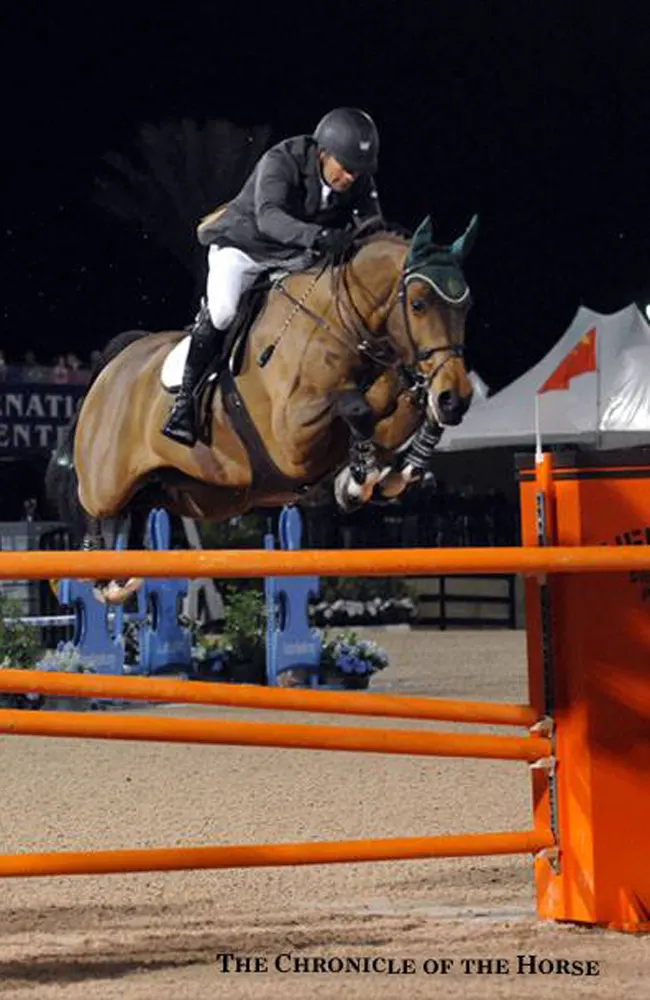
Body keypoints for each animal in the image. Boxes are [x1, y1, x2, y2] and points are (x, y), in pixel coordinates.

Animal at [46, 214, 477, 602]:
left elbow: (397, 411)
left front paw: (391, 470)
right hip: (106, 483)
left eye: (467, 306)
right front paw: (361, 476)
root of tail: (114, 363)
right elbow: (355, 406)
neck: (339, 323)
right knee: (90, 506)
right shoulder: (291, 441)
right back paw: (97, 569)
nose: (456, 397)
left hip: (198, 492)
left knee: (137, 511)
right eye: (418, 304)